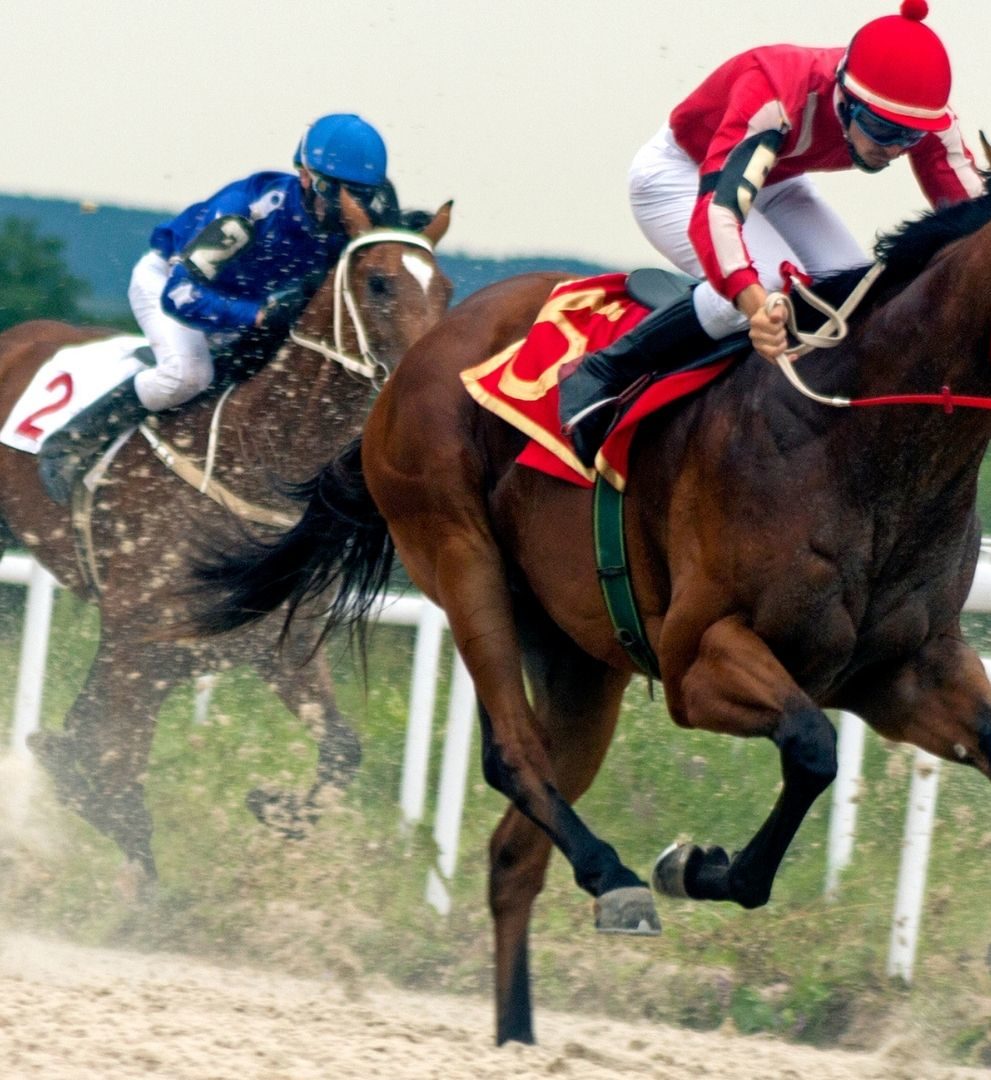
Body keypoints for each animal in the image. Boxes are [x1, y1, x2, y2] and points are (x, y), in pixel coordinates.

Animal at [0, 191, 453, 884]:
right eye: (379, 282)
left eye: (447, 291)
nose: (428, 385)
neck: (253, 460)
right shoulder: (137, 645)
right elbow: (106, 775)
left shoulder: (273, 652)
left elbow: (342, 751)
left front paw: (274, 807)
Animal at [188, 190, 991, 1045]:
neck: (860, 440)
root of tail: (425, 348)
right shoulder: (697, 661)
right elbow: (811, 747)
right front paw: (694, 867)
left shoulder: (904, 674)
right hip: (460, 554)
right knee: (511, 757)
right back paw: (614, 877)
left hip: (581, 657)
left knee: (514, 851)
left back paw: (518, 1035)